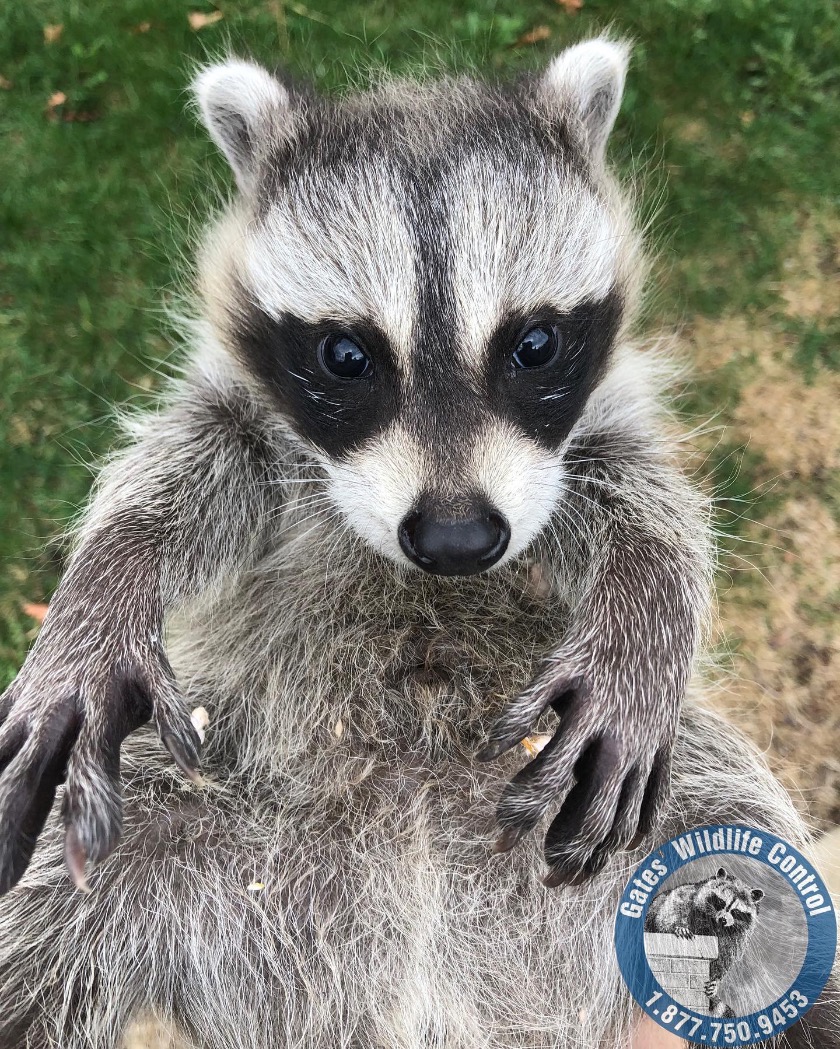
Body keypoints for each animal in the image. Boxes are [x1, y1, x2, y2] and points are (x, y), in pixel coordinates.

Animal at [646, 867, 765, 1016]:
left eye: (736, 912)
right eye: (720, 902)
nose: (723, 920)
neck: (714, 924)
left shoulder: (737, 937)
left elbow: (724, 959)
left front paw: (716, 980)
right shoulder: (688, 895)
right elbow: (670, 912)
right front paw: (678, 926)